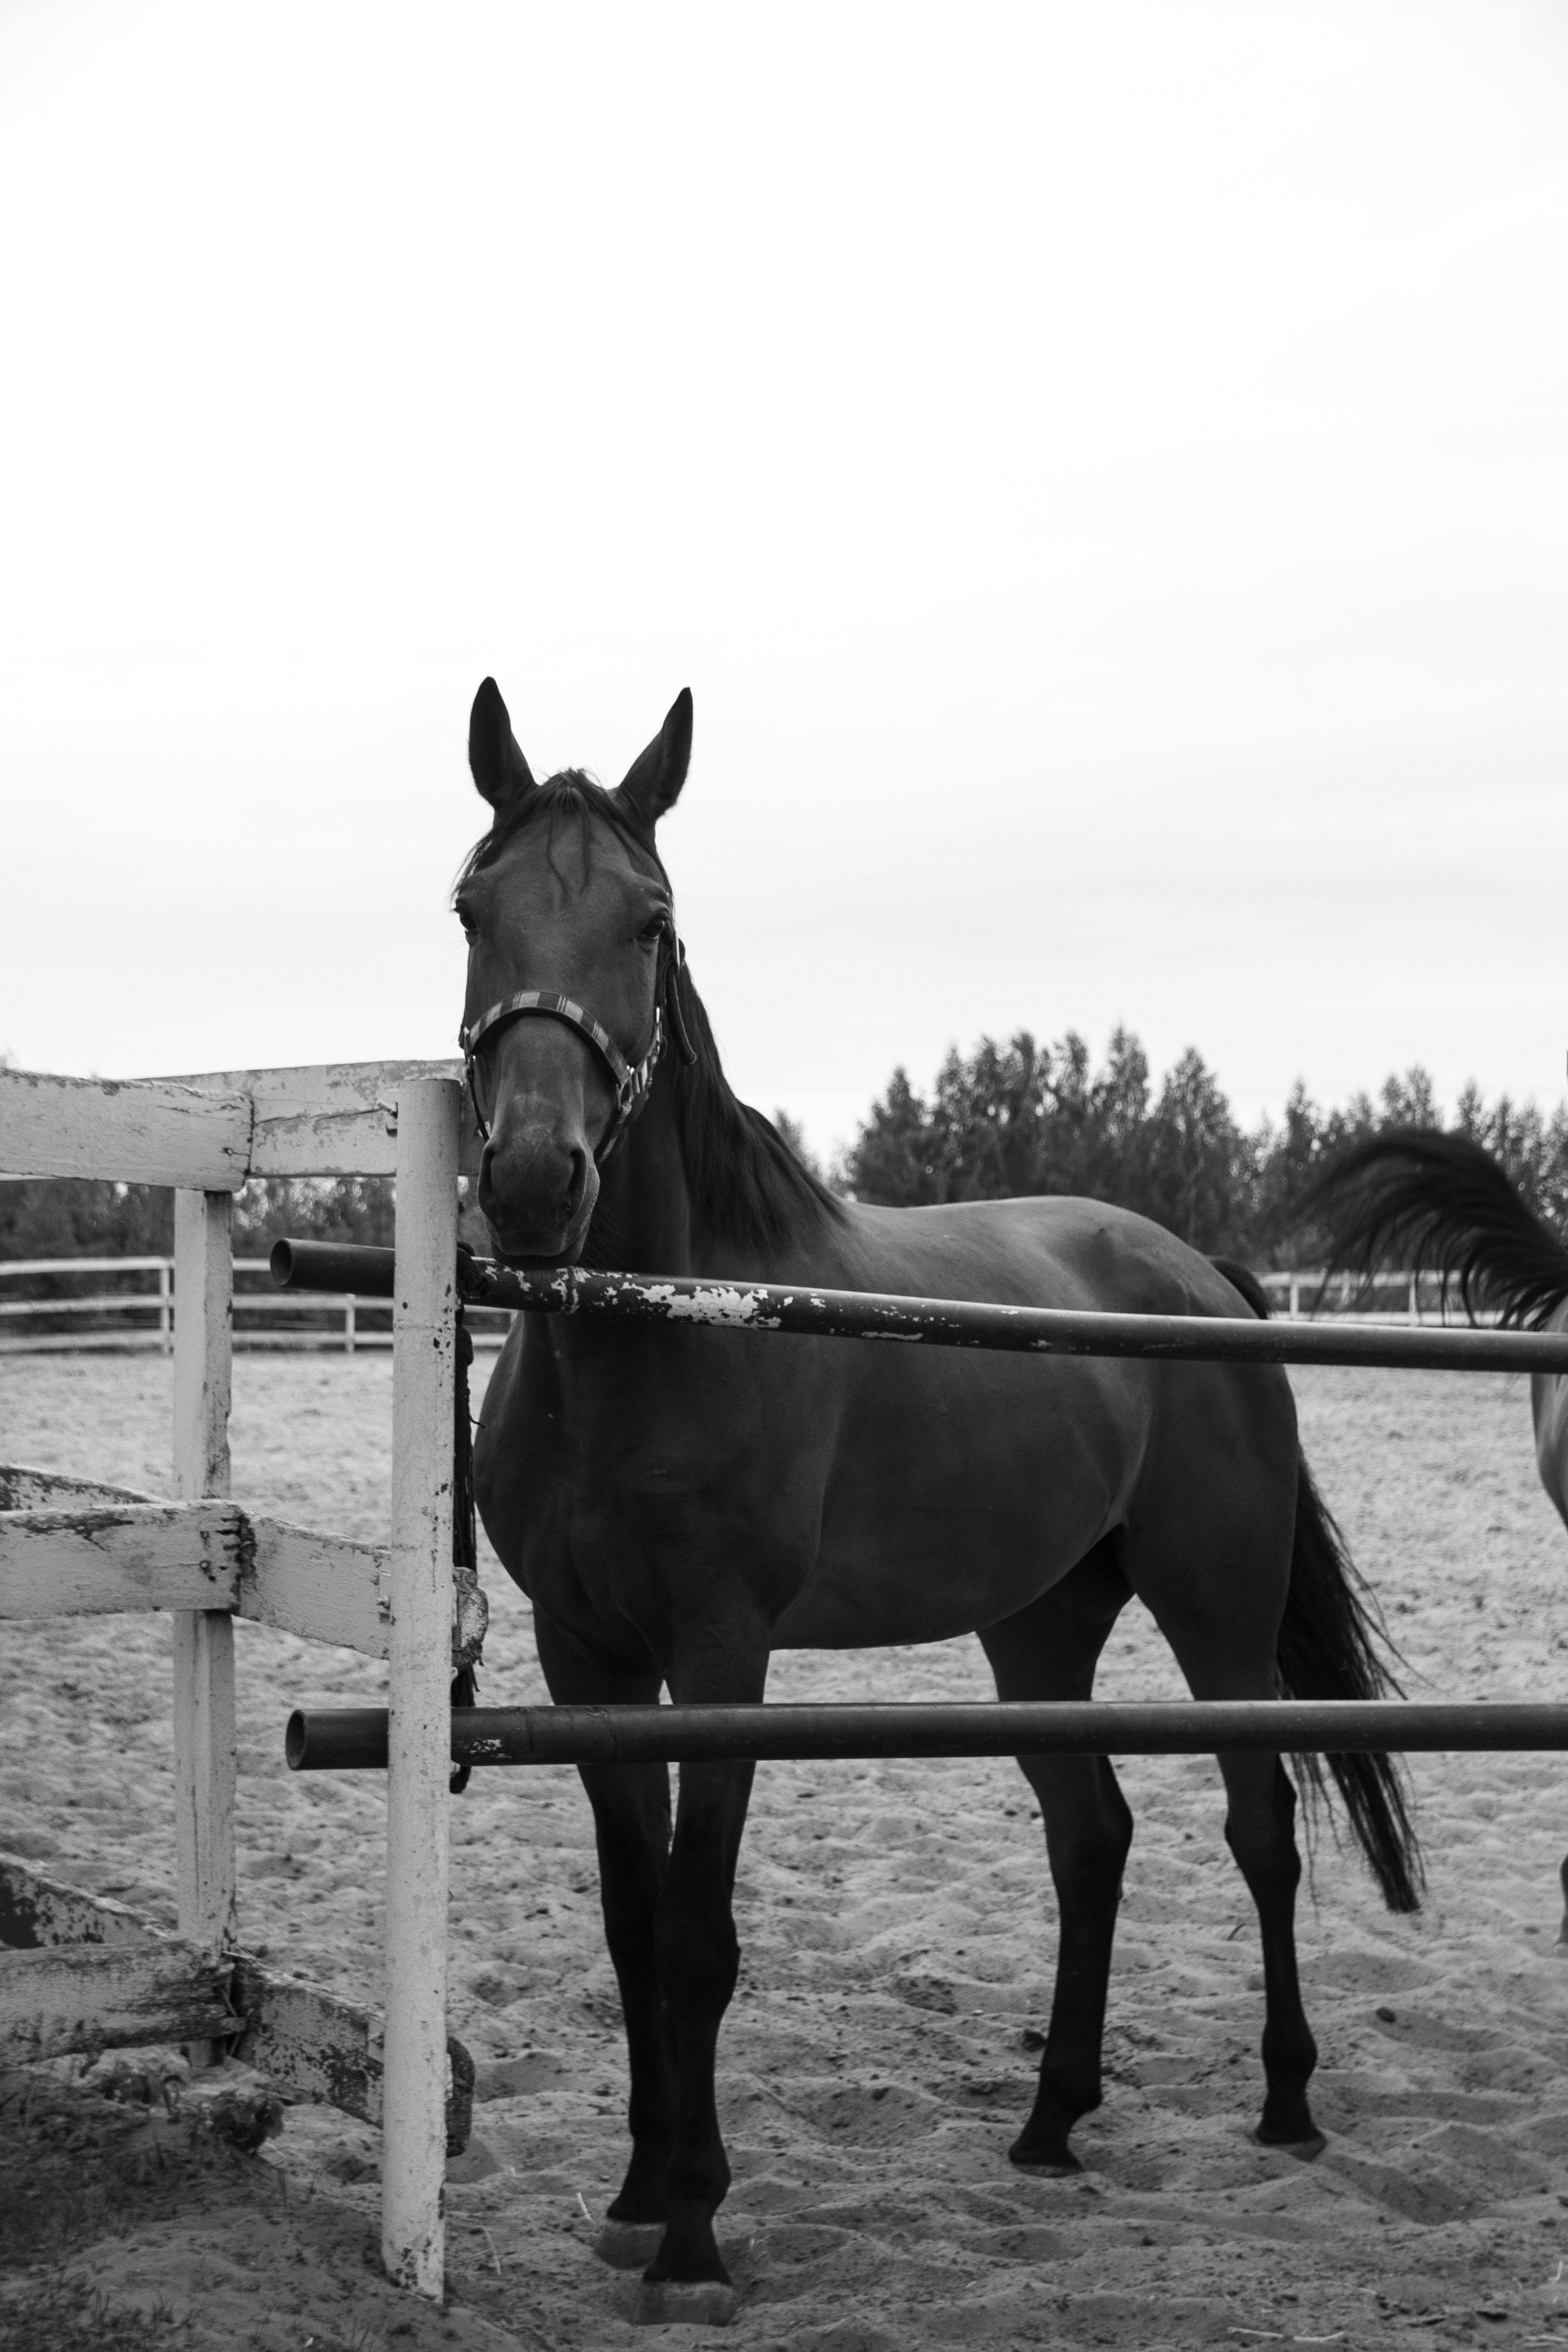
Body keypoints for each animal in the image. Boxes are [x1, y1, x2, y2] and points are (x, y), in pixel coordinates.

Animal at [460, 676, 1421, 2324]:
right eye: (472, 907)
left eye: (651, 923)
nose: (533, 1181)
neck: (661, 1321)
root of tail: (1193, 1274)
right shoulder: (586, 1659)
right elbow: (630, 1920)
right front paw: (637, 2195)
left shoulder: (721, 1658)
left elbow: (698, 1936)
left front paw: (698, 2231)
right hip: (1037, 1628)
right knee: (1090, 1837)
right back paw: (1050, 2122)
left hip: (1216, 1615)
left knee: (1258, 1829)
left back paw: (1287, 2103)